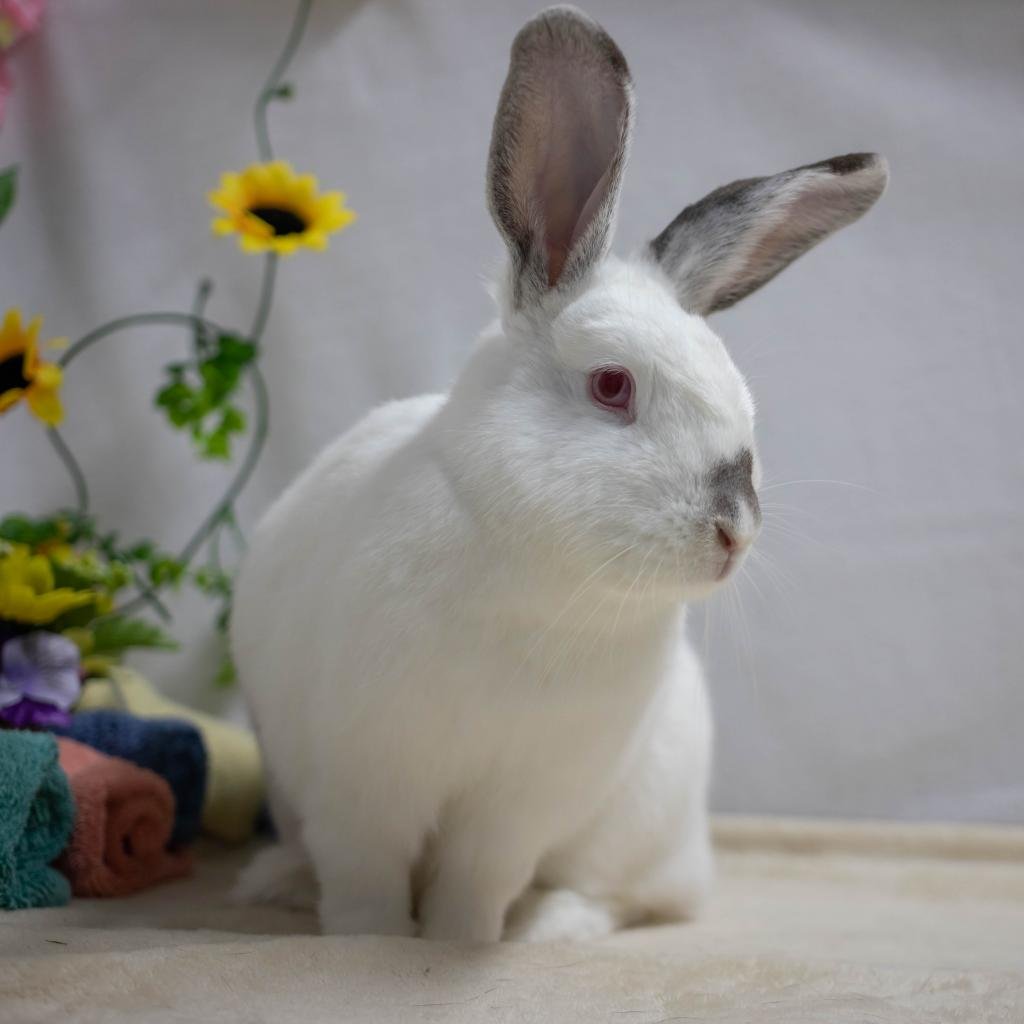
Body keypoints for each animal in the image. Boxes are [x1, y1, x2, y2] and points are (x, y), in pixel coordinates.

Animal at [230, 4, 888, 942]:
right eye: (612, 385)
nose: (735, 529)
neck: (542, 585)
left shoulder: (520, 804)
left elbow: (476, 882)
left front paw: (461, 943)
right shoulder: (362, 784)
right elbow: (367, 882)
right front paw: (370, 944)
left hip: (643, 825)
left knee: (636, 896)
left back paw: (551, 926)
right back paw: (275, 884)